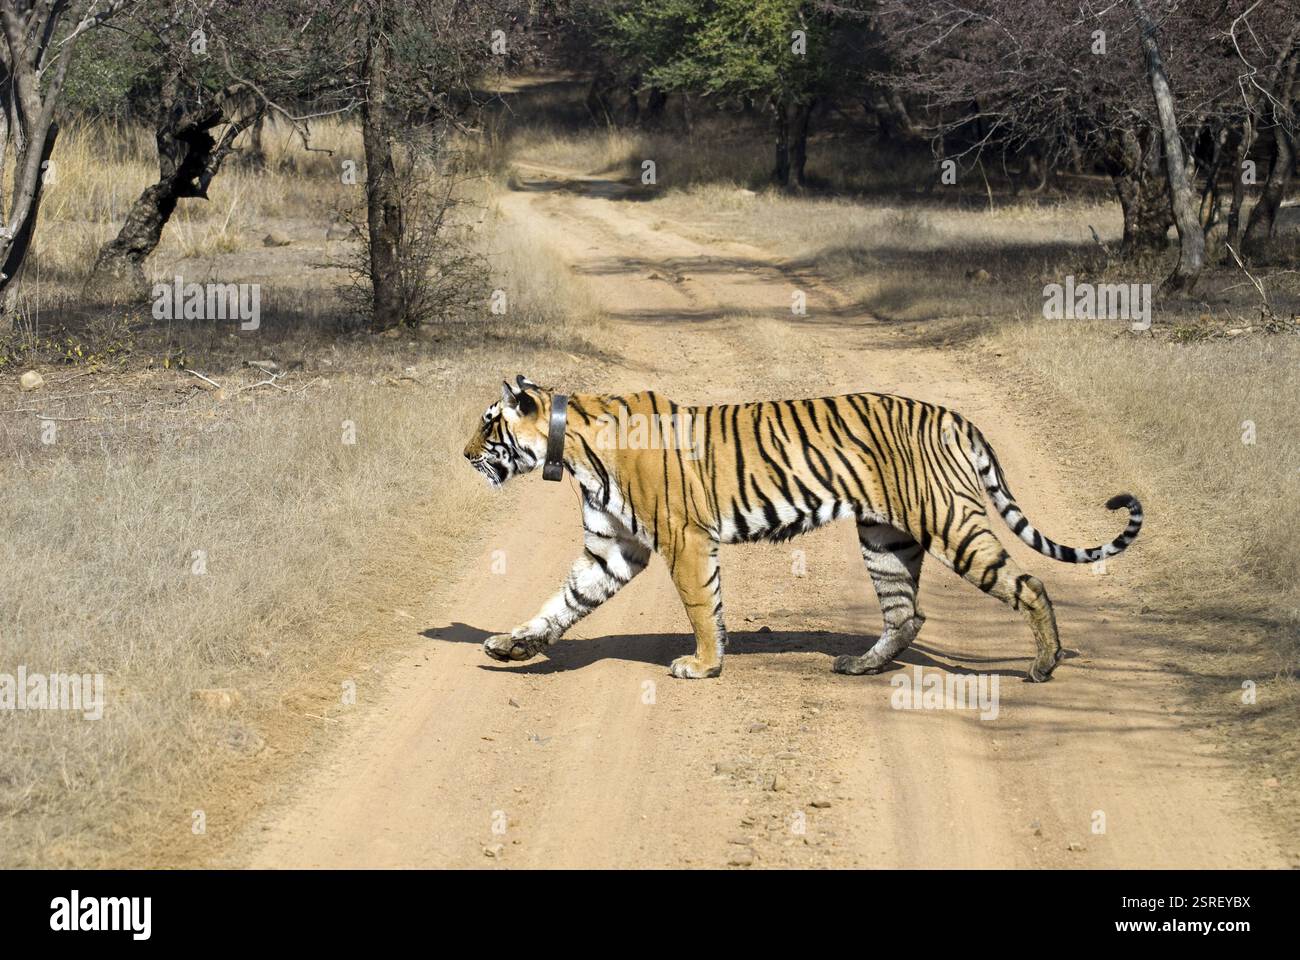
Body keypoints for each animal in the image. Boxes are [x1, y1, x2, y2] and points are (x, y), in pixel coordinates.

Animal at [463, 375, 1142, 682]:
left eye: (487, 423)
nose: (464, 453)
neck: (571, 451)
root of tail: (953, 416)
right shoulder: (613, 548)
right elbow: (563, 602)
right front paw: (511, 645)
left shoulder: (684, 540)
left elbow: (701, 607)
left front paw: (703, 665)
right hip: (884, 539)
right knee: (907, 614)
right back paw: (860, 666)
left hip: (951, 524)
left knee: (1029, 584)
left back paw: (1045, 664)